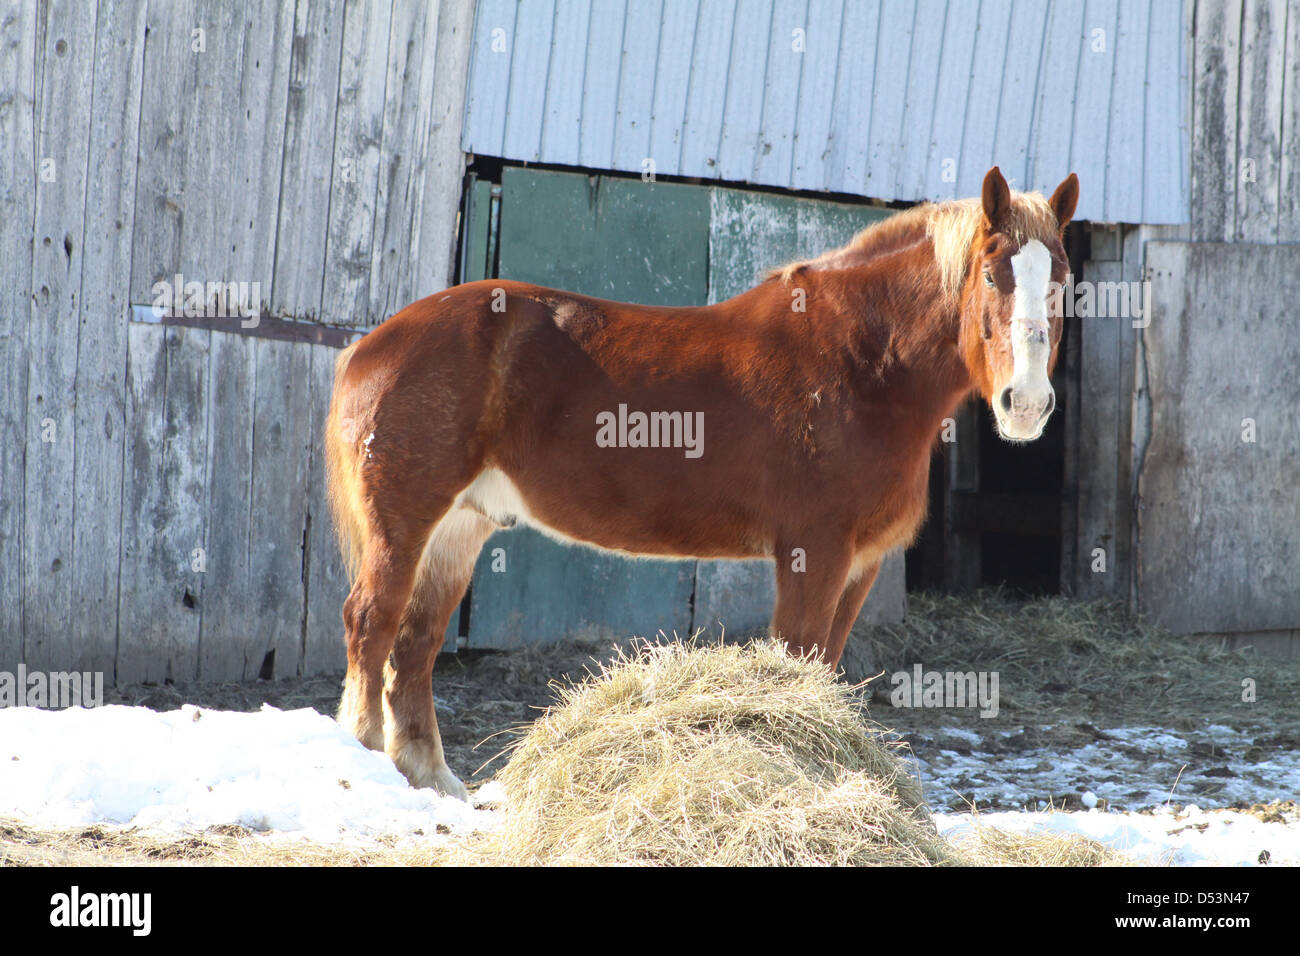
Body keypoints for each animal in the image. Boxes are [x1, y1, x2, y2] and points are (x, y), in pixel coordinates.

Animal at [325, 165, 1079, 798]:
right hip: (404, 524)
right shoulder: (814, 553)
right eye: (991, 275)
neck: (863, 363)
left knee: (416, 643)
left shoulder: (861, 563)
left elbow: (824, 668)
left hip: (460, 526)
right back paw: (361, 761)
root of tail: (371, 346)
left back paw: (432, 783)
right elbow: (796, 657)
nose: (1026, 404)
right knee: (372, 623)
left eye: (1063, 281)